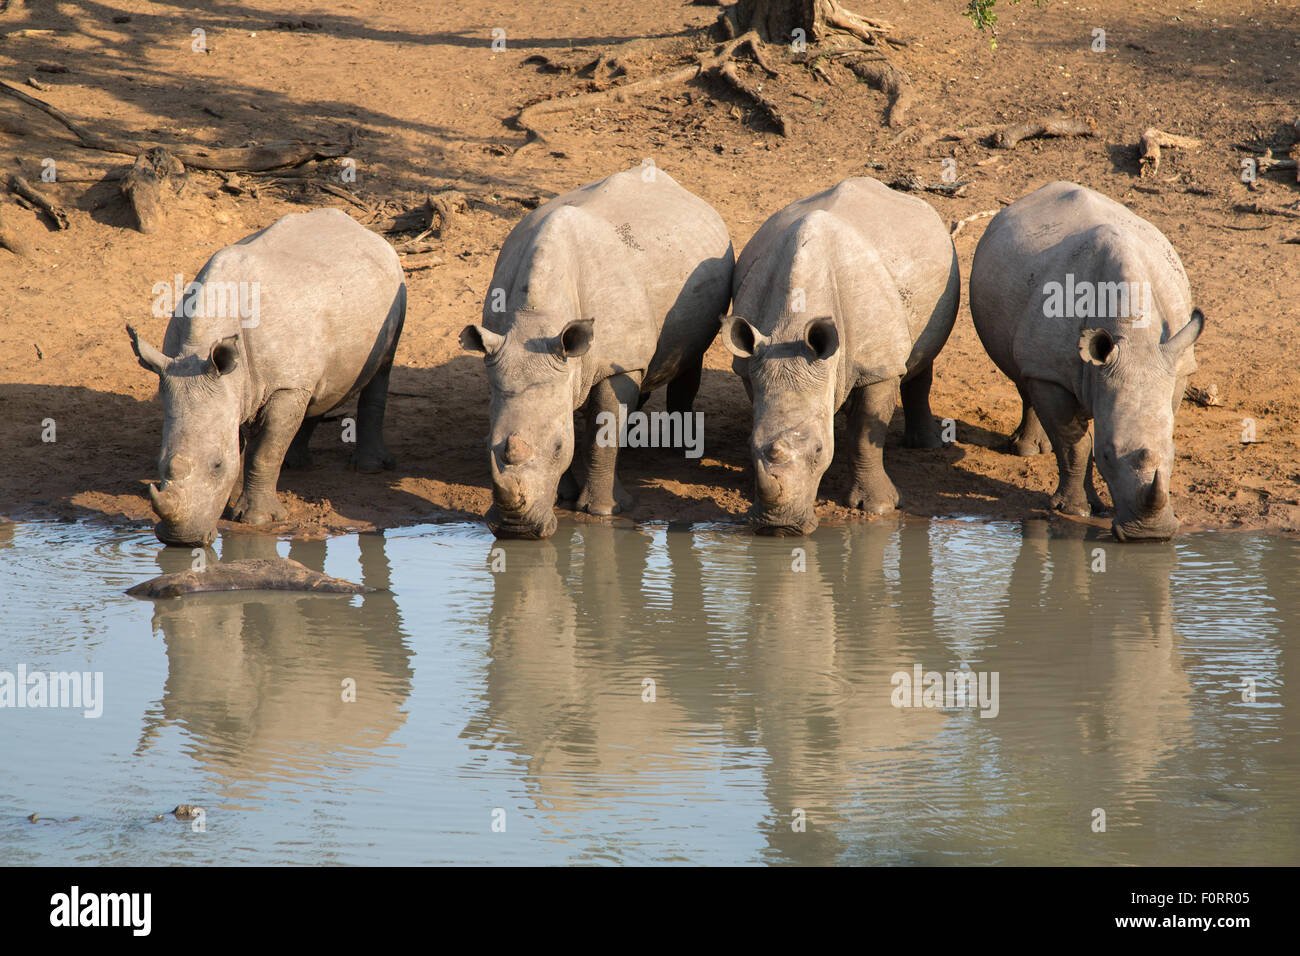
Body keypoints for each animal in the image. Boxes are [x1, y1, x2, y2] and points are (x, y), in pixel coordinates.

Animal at [127, 207, 406, 547]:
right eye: (160, 464)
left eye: (216, 466)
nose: (181, 540)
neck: (201, 345)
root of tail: (363, 229)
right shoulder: (230, 385)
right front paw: (229, 502)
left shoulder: (280, 386)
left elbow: (265, 452)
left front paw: (255, 518)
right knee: (315, 389)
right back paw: (296, 464)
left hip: (395, 289)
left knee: (381, 369)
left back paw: (369, 469)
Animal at [460, 165, 734, 539]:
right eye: (488, 443)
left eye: (557, 448)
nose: (517, 530)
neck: (534, 323)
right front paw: (562, 496)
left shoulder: (611, 366)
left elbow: (600, 434)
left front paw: (604, 510)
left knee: (689, 357)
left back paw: (679, 450)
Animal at [720, 178, 960, 535]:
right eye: (749, 444)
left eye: (819, 450)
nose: (780, 528)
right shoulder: (753, 363)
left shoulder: (878, 367)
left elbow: (866, 433)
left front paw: (879, 506)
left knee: (920, 361)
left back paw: (925, 445)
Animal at [969, 181, 1204, 541]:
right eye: (1108, 456)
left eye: (1176, 455)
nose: (1149, 535)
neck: (1134, 342)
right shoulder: (1050, 372)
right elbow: (1074, 446)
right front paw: (1075, 510)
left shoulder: (1174, 366)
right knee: (1024, 374)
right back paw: (1028, 451)